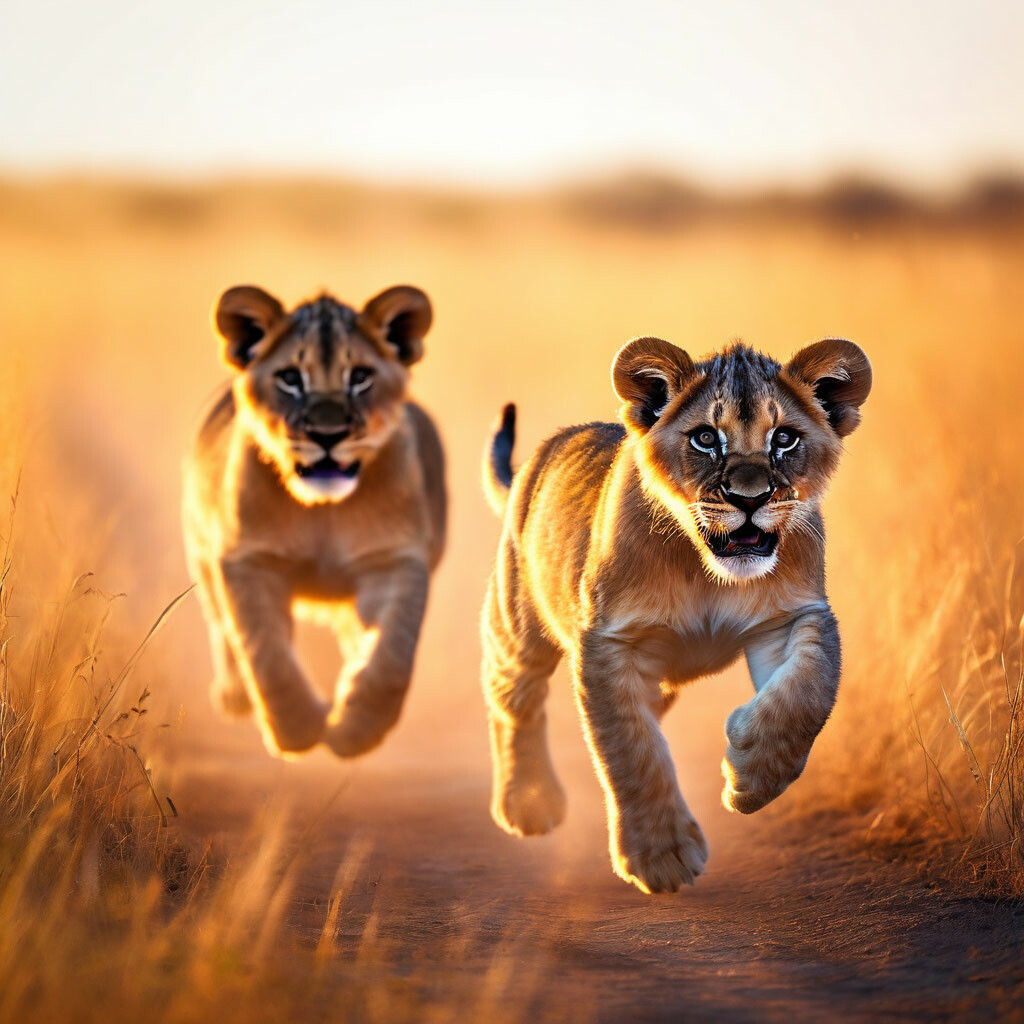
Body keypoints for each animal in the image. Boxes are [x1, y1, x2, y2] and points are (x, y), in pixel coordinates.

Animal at [183, 283, 446, 759]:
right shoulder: (248, 560)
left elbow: (391, 658)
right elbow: (264, 652)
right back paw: (235, 695)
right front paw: (298, 729)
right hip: (200, 553)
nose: (327, 435)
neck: (325, 512)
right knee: (220, 623)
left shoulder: (394, 560)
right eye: (290, 378)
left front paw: (355, 730)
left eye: (360, 376)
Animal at [480, 335, 871, 894]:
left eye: (785, 438)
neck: (706, 570)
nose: (749, 499)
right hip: (517, 622)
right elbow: (631, 749)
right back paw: (528, 803)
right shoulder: (608, 643)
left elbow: (807, 693)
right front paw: (660, 858)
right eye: (706, 438)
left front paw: (751, 778)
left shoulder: (793, 616)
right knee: (513, 696)